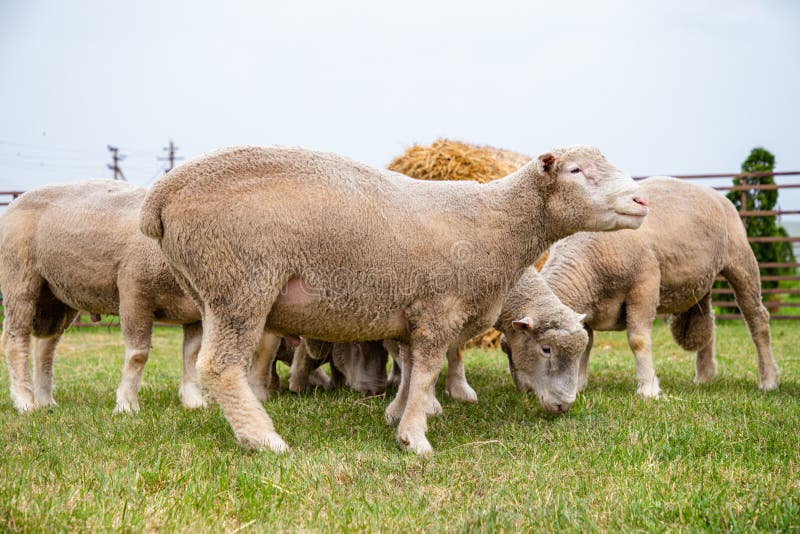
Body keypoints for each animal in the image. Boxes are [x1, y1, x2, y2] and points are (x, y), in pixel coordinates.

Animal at [140, 144, 648, 454]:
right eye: (577, 171)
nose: (642, 201)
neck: (498, 224)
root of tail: (159, 197)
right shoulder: (441, 309)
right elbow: (427, 371)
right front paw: (415, 438)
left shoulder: (412, 314)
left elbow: (410, 370)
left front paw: (397, 415)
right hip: (240, 283)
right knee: (218, 366)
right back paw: (264, 439)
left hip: (210, 289)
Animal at [502, 176, 779, 403]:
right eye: (505, 349)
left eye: (544, 349)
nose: (524, 391)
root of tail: (712, 192)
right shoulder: (586, 310)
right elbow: (587, 345)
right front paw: (578, 385)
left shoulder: (644, 285)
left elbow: (638, 340)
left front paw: (648, 389)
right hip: (699, 282)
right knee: (707, 321)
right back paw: (704, 375)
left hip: (740, 261)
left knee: (757, 319)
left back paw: (768, 380)